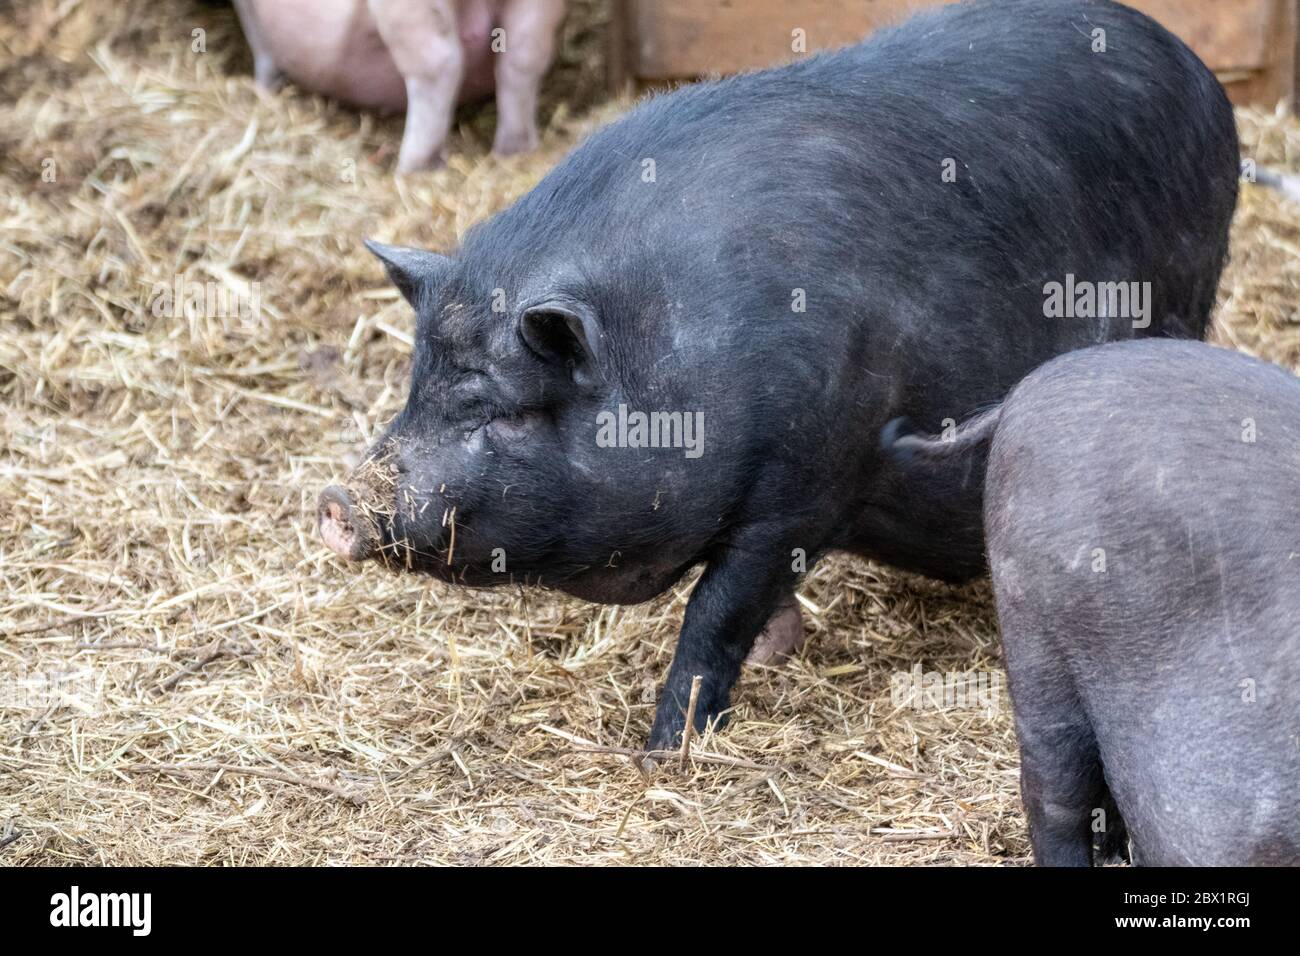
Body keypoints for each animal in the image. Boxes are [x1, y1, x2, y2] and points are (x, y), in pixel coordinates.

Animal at [231, 0, 566, 170]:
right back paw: (515, 151)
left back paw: (413, 167)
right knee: (523, 54)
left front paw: (263, 87)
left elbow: (258, 37)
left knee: (439, 61)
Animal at [317, 0, 1239, 751]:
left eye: (497, 408)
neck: (676, 348)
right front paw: (773, 654)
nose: (335, 502)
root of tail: (1198, 76)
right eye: (416, 385)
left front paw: (667, 750)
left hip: (1183, 292)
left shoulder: (808, 480)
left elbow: (715, 615)